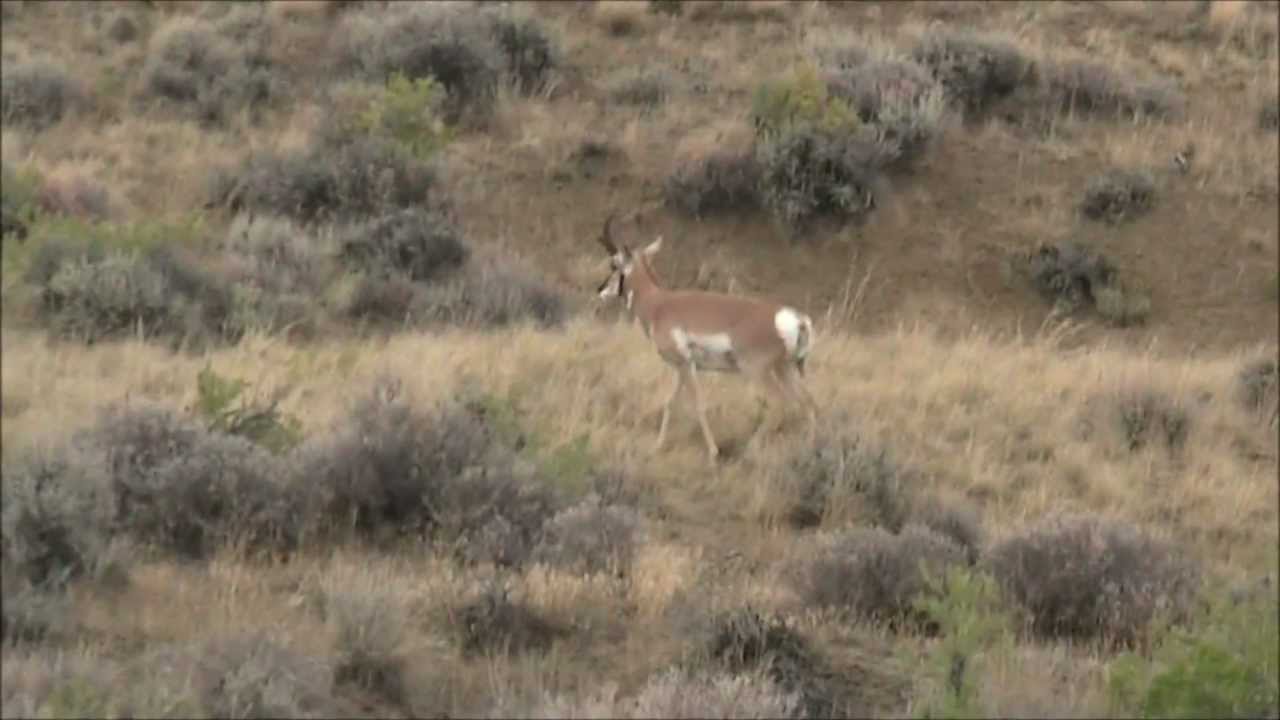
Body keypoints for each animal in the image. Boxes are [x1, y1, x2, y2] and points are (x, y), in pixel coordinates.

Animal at [594, 213, 819, 463]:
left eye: (613, 264)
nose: (600, 290)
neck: (659, 304)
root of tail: (796, 319)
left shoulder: (685, 365)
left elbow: (698, 405)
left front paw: (713, 452)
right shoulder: (681, 367)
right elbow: (670, 403)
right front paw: (657, 446)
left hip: (758, 371)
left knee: (779, 404)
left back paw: (750, 451)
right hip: (785, 369)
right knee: (808, 402)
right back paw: (810, 450)